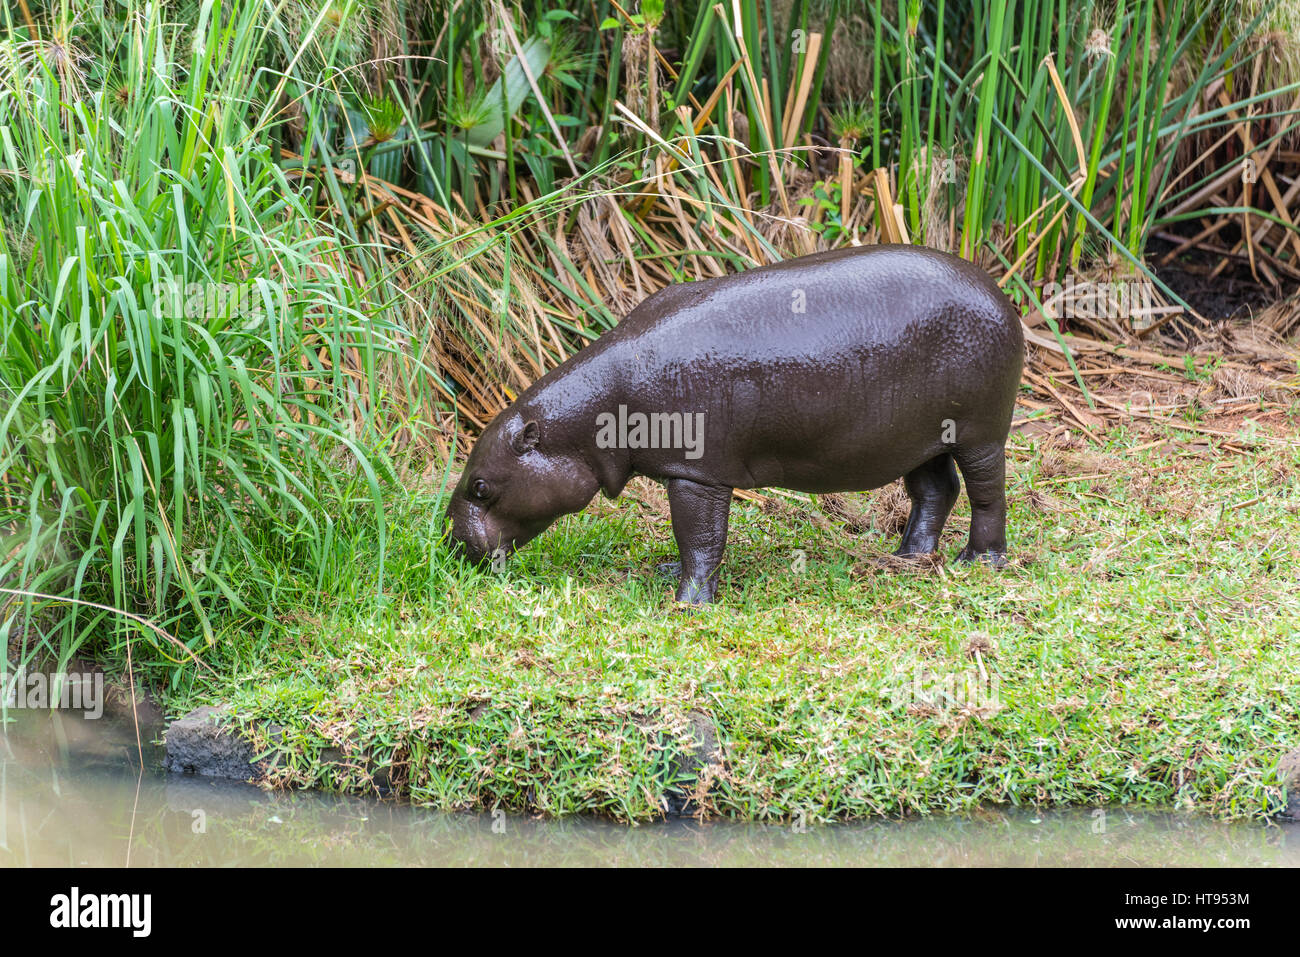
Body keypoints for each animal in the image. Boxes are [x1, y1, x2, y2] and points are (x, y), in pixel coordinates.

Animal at [446, 244, 1024, 604]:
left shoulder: (696, 473)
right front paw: (667, 574)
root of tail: (1000, 293)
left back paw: (978, 562)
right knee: (935, 489)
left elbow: (699, 537)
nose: (450, 546)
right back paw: (906, 558)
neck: (588, 417)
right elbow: (691, 542)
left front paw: (687, 603)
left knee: (987, 493)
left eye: (480, 487)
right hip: (917, 437)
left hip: (980, 432)